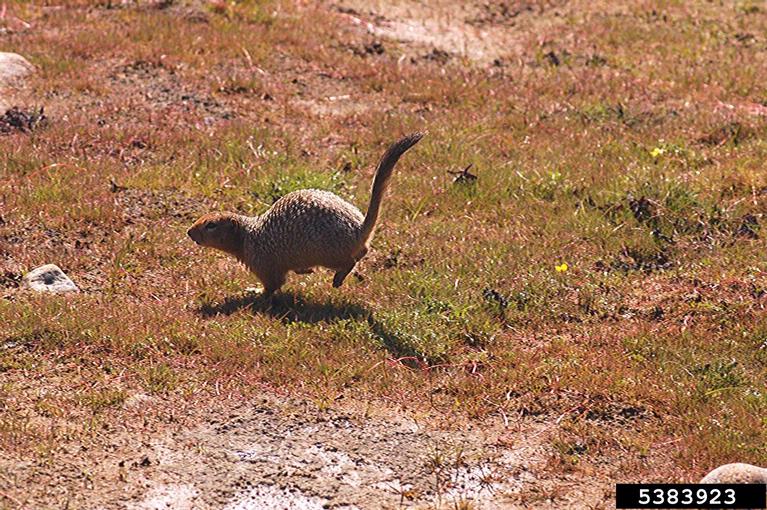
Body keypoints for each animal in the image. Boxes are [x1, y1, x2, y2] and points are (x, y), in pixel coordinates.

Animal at [188, 132, 424, 297]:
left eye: (210, 225)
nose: (189, 232)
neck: (248, 236)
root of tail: (359, 227)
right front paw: (304, 272)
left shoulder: (264, 264)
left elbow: (271, 286)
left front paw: (254, 292)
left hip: (328, 254)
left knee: (354, 258)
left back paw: (338, 279)